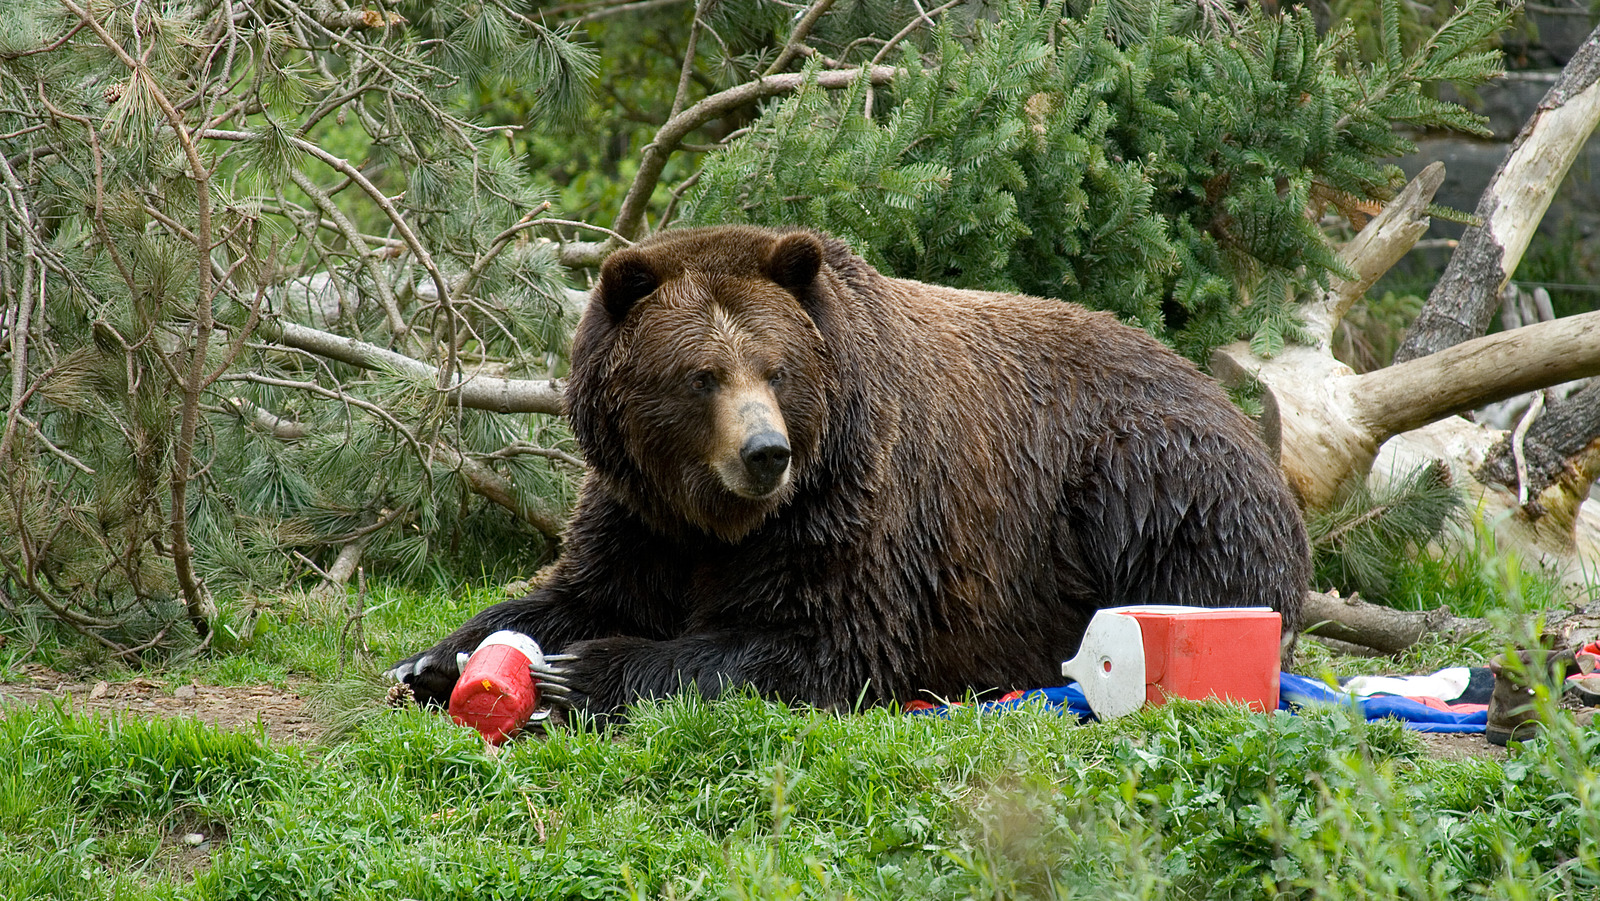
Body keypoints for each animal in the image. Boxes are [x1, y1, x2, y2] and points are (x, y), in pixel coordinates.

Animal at [387, 225, 1310, 717]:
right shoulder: (639, 512)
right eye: (701, 375)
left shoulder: (853, 503)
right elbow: (578, 586)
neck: (720, 518)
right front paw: (433, 660)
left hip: (1148, 487)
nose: (765, 452)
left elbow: (821, 640)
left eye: (776, 367)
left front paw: (583, 671)